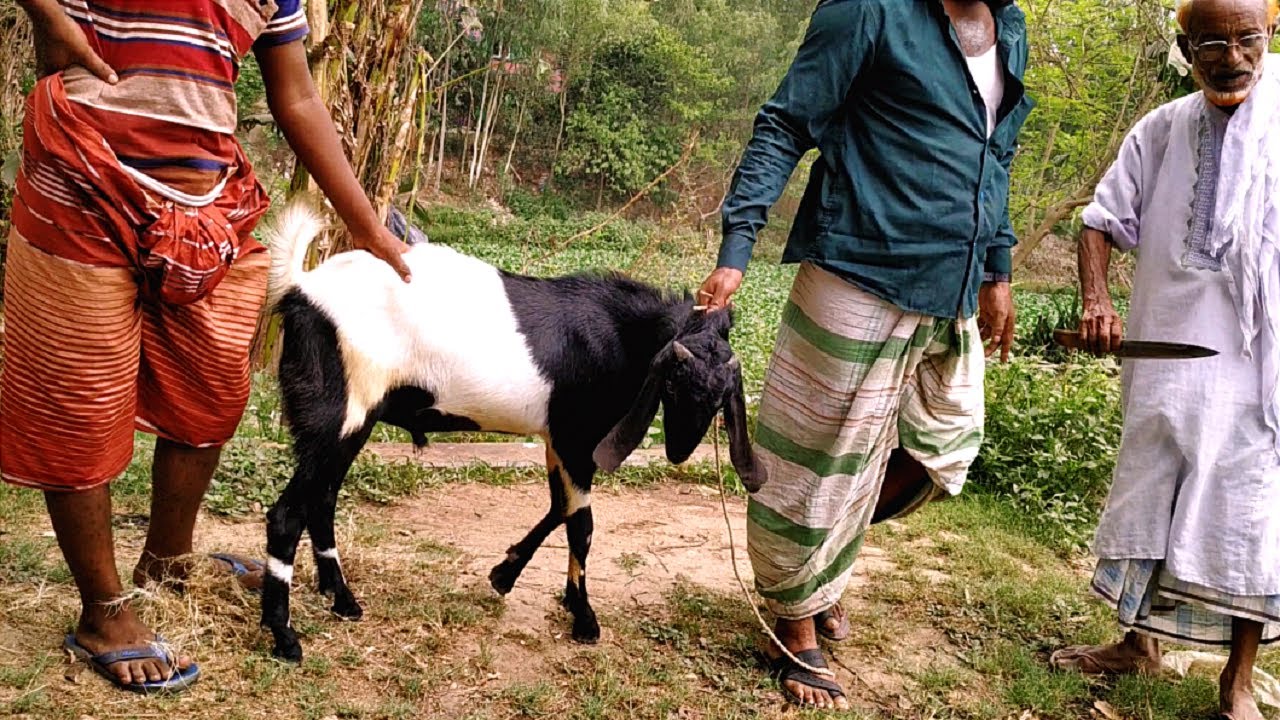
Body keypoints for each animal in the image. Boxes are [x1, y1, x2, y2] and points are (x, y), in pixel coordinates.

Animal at [258, 204, 767, 661]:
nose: (680, 450)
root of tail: (301, 289)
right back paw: (284, 636)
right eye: (674, 382)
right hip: (337, 412)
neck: (620, 334)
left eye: (721, 397)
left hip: (351, 422)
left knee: (322, 499)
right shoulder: (576, 439)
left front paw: (508, 575)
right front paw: (584, 618)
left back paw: (341, 599)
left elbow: (559, 508)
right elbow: (581, 524)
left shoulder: (557, 441)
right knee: (289, 512)